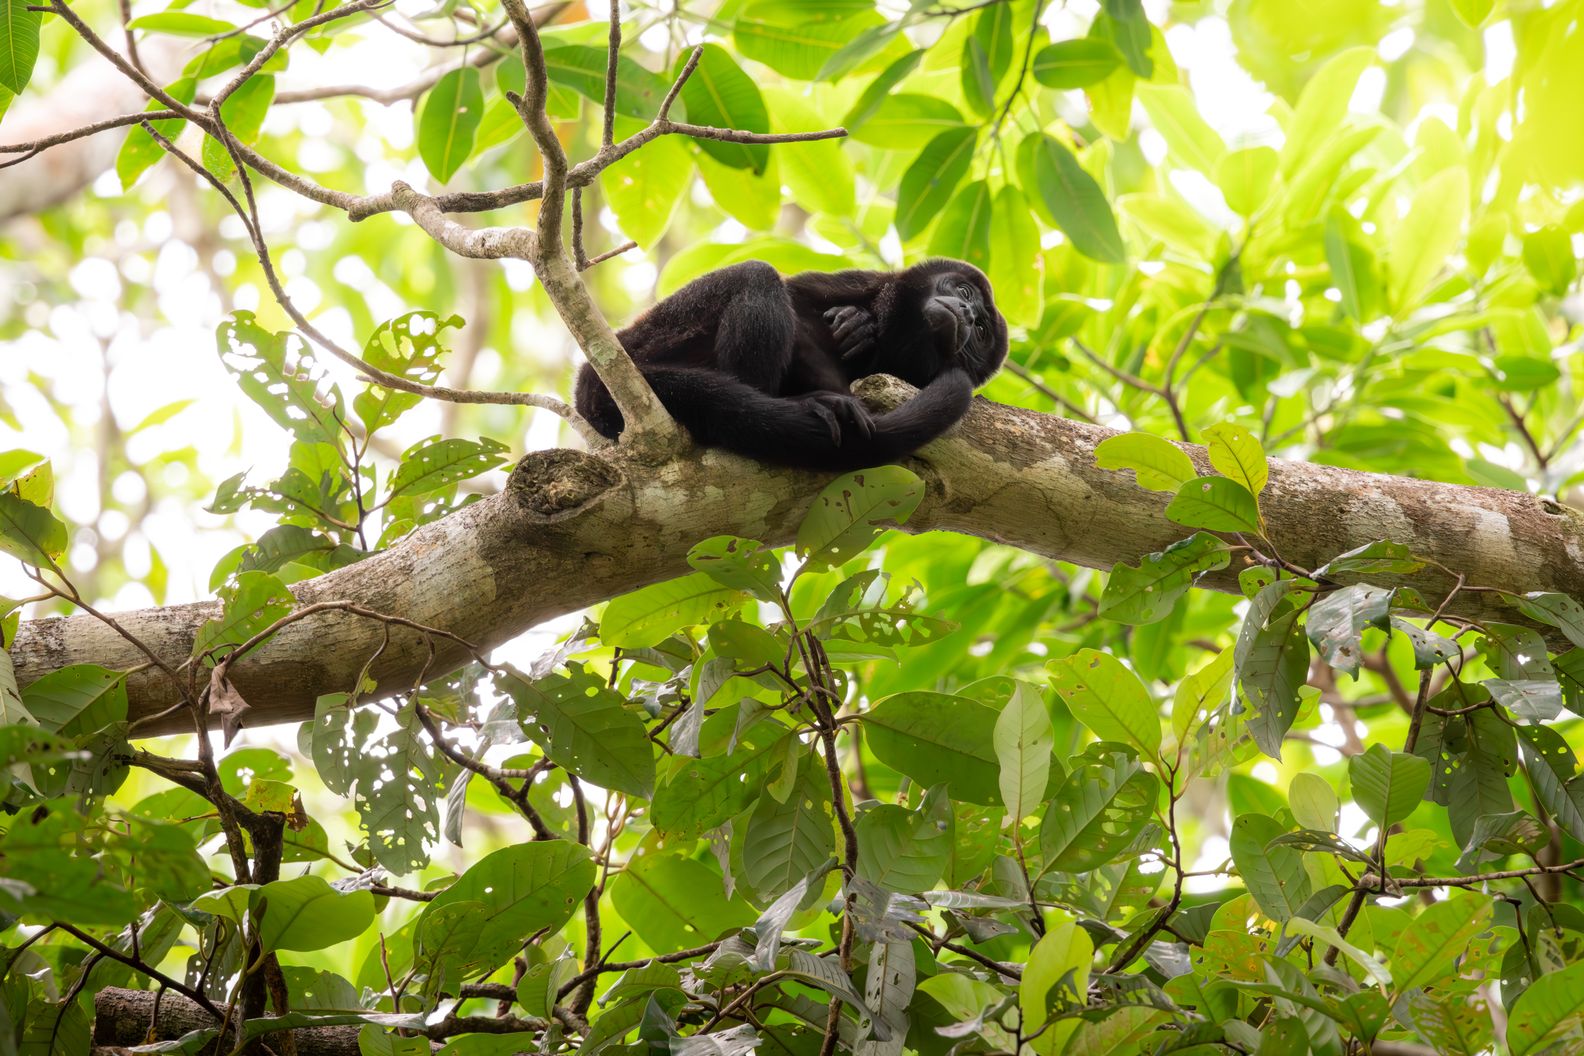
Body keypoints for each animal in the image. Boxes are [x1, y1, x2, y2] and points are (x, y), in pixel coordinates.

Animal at [573, 259, 1008, 472]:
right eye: (964, 292)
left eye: (981, 330)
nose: (968, 313)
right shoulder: (858, 281)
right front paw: (856, 328)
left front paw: (858, 333)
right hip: (654, 335)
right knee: (757, 275)